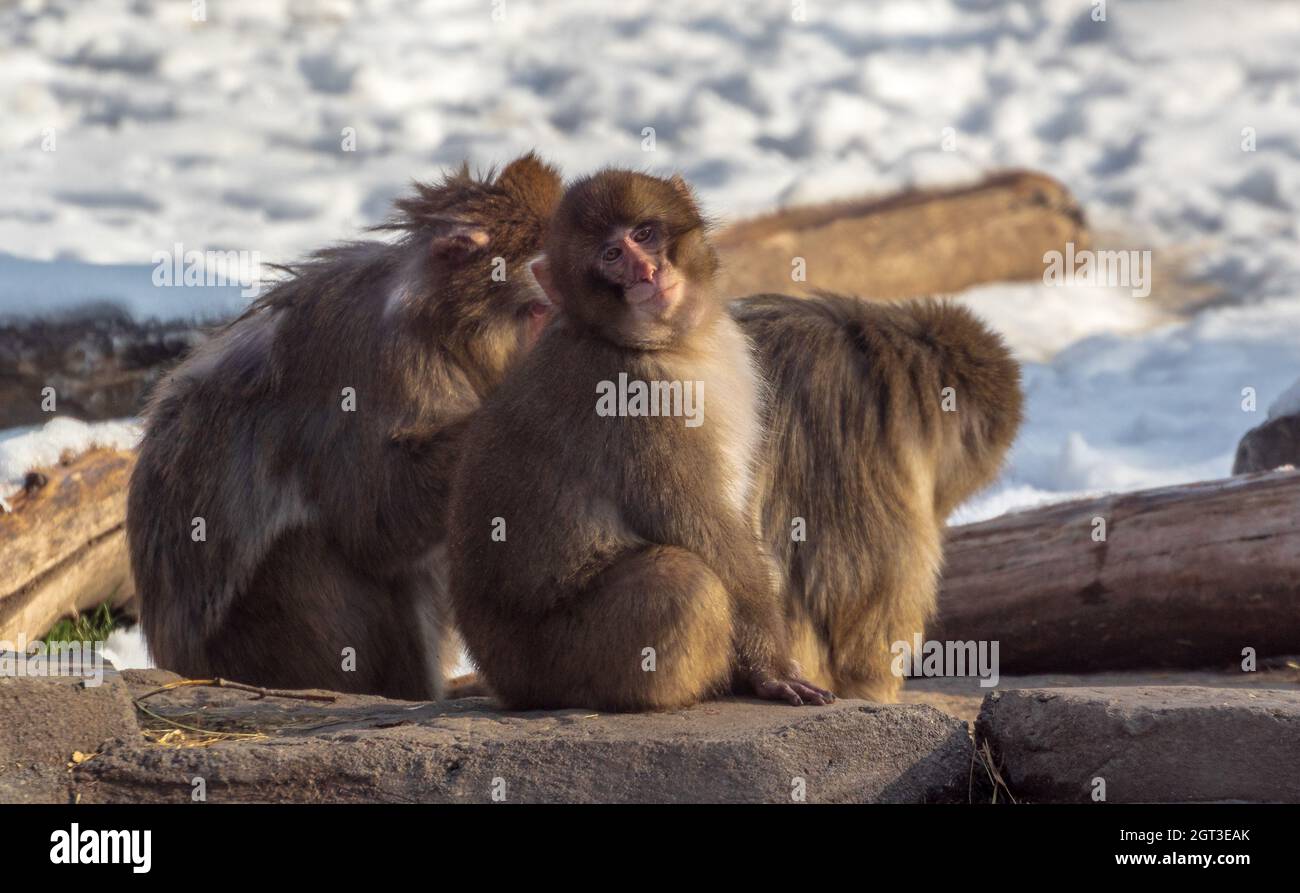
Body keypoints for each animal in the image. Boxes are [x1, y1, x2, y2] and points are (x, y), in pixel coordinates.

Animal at [446, 170, 835, 711]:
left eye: (644, 234)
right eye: (611, 256)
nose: (647, 273)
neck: (662, 346)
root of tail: (505, 683)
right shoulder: (641, 407)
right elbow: (701, 529)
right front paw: (771, 669)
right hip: (564, 663)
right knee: (681, 579)